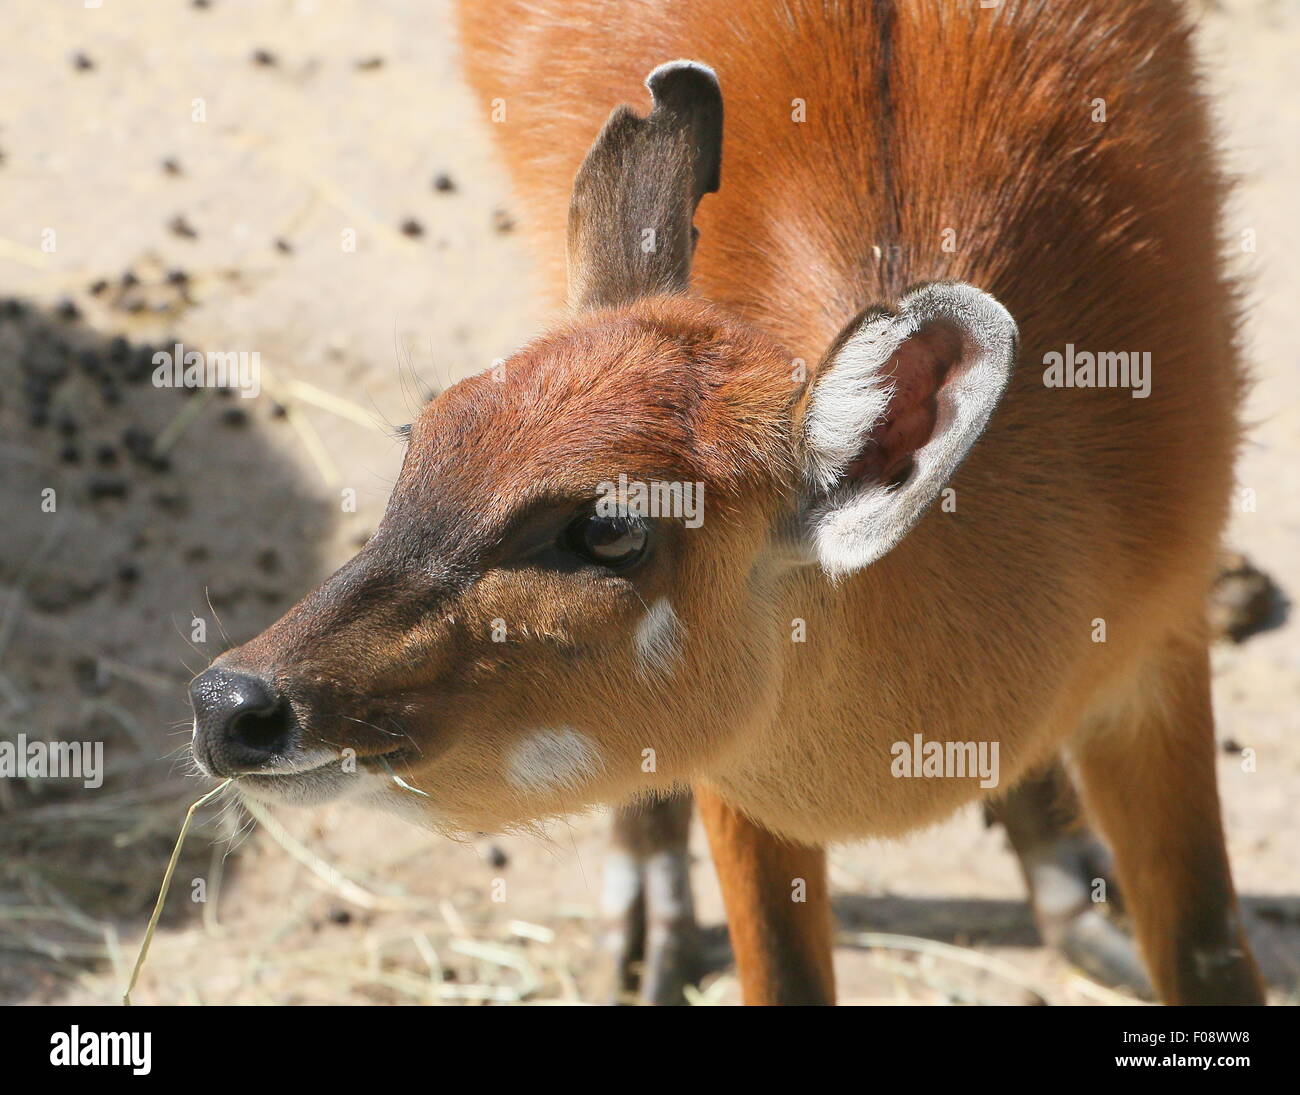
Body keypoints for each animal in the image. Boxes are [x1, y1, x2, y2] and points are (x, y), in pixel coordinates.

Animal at [190, 0, 1265, 1005]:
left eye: (607, 526)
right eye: (422, 436)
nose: (231, 704)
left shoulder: (1163, 641)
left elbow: (1210, 951)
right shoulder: (736, 769)